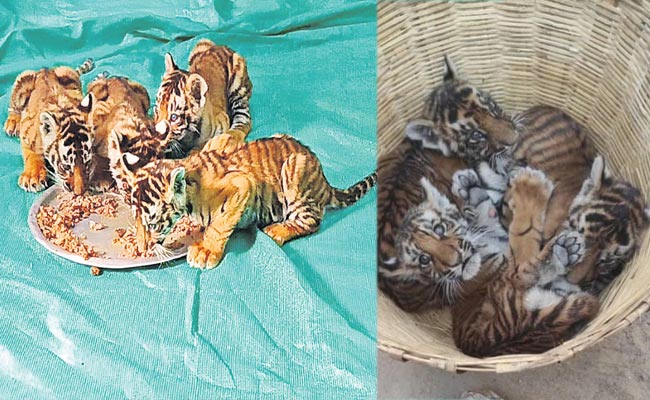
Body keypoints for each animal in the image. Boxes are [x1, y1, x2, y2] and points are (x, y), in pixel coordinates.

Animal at [4, 59, 95, 194]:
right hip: (23, 79)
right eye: (65, 166)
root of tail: (45, 70)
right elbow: (31, 154)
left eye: (87, 163)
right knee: (14, 107)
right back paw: (13, 122)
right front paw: (33, 177)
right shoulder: (26, 133)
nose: (79, 192)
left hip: (69, 74)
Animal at [107, 132, 376, 268]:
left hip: (295, 169)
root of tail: (324, 180)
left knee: (312, 221)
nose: (143, 248)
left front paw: (206, 251)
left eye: (153, 224)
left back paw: (278, 230)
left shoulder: (242, 185)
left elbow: (219, 225)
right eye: (137, 221)